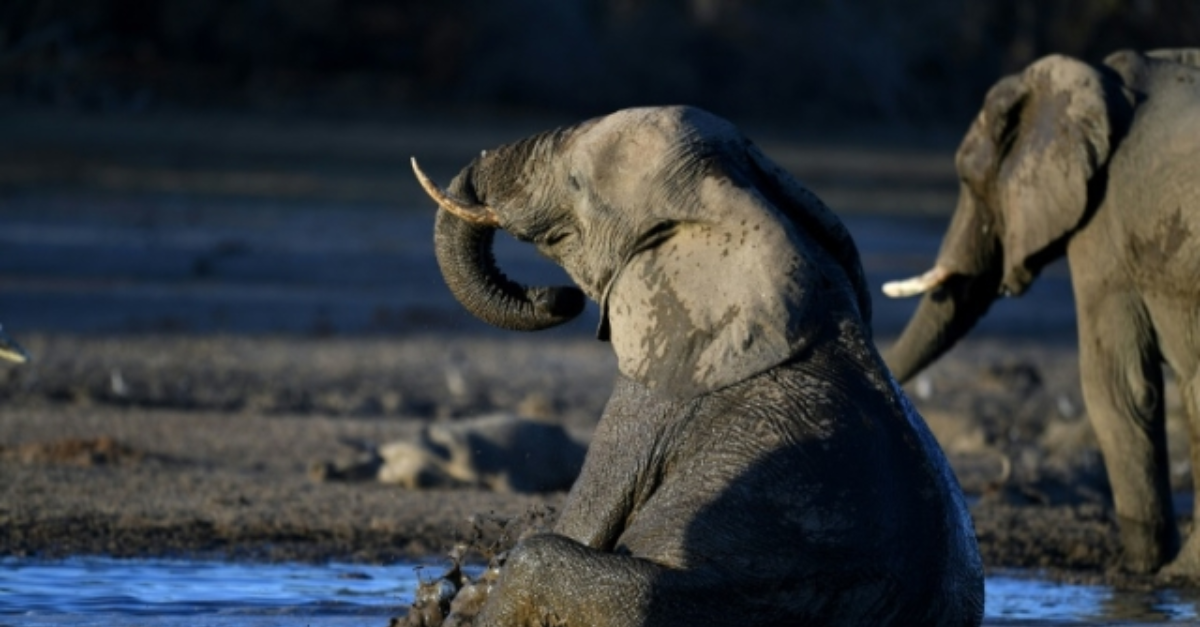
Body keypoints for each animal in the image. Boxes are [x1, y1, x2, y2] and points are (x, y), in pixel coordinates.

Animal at [408, 105, 983, 626]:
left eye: (576, 181)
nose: (558, 298)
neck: (747, 208)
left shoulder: (663, 385)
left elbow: (580, 522)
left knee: (541, 562)